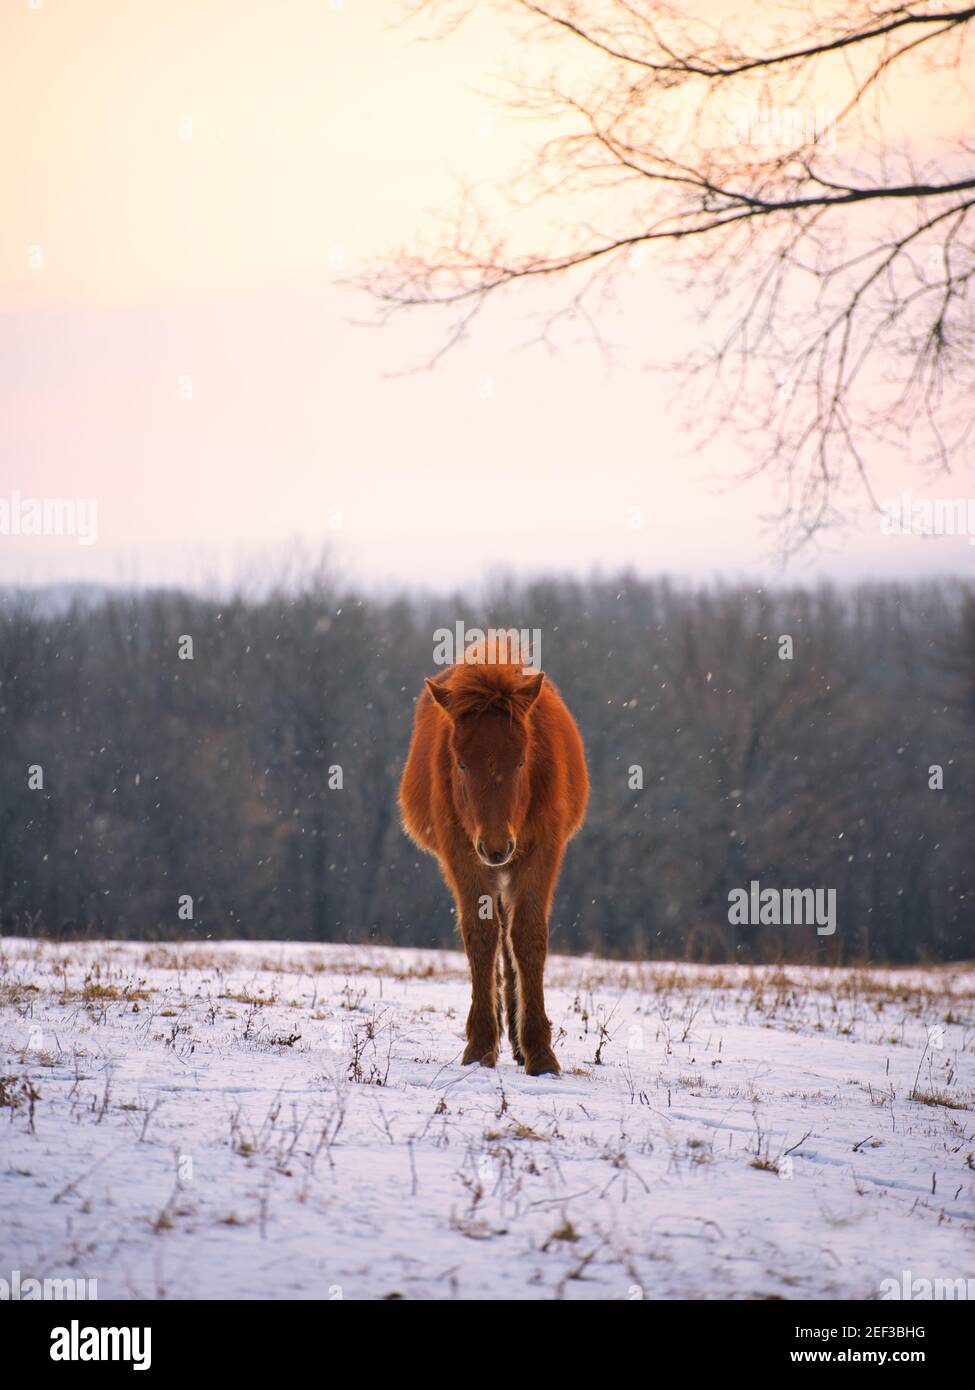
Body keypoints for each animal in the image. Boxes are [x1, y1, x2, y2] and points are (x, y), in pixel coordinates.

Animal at [399, 644, 588, 1075]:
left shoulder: (543, 848)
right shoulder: (461, 853)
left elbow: (528, 936)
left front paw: (539, 1052)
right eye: (460, 762)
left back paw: (518, 1043)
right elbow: (481, 935)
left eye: (520, 760)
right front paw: (481, 1044)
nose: (496, 845)